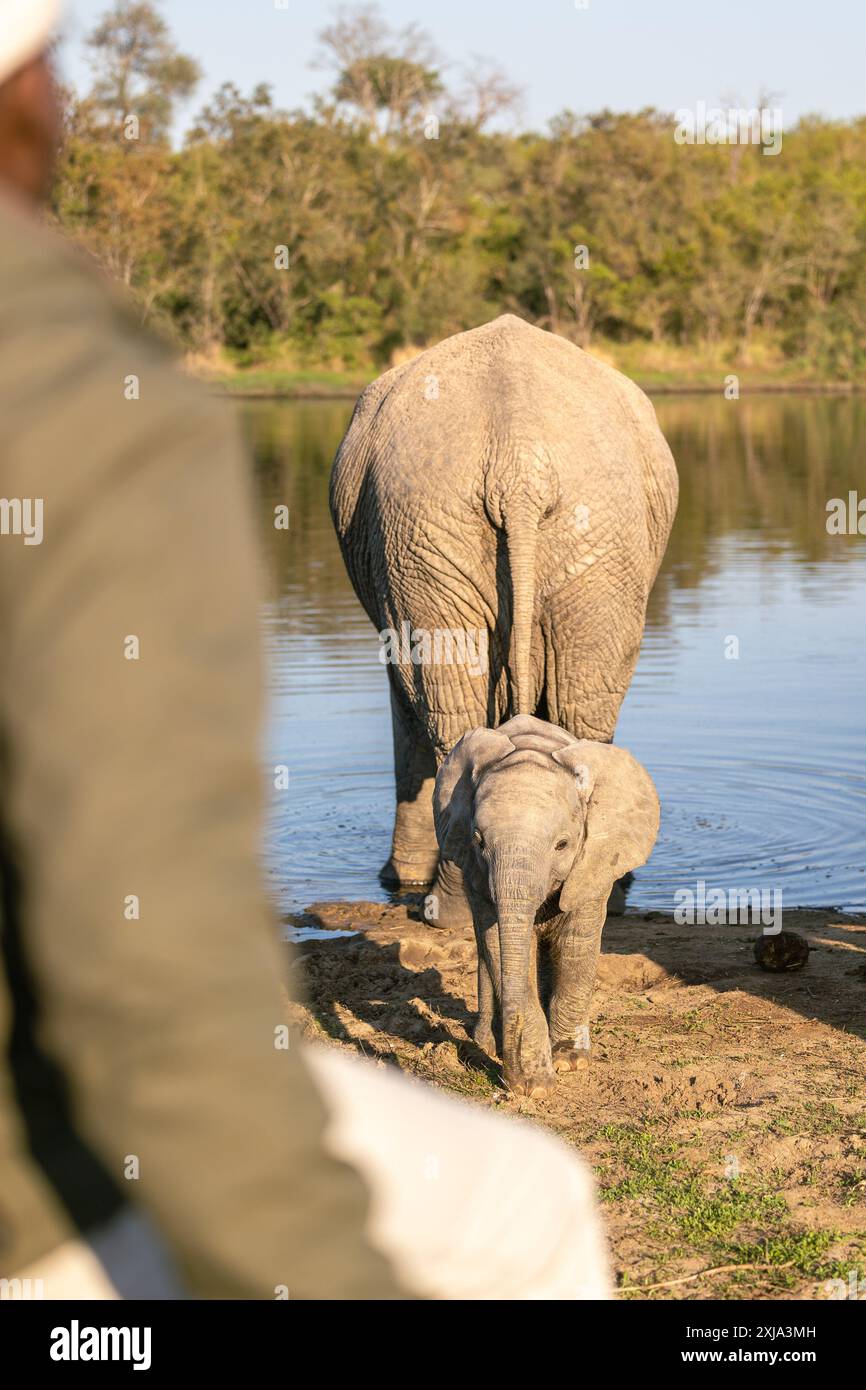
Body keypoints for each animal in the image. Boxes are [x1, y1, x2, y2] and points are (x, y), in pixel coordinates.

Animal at [433, 713, 660, 1097]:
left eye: (562, 845)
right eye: (479, 841)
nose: (515, 1082)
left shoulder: (593, 863)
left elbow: (575, 945)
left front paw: (568, 1062)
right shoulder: (477, 874)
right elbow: (500, 949)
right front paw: (538, 1083)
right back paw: (485, 1043)